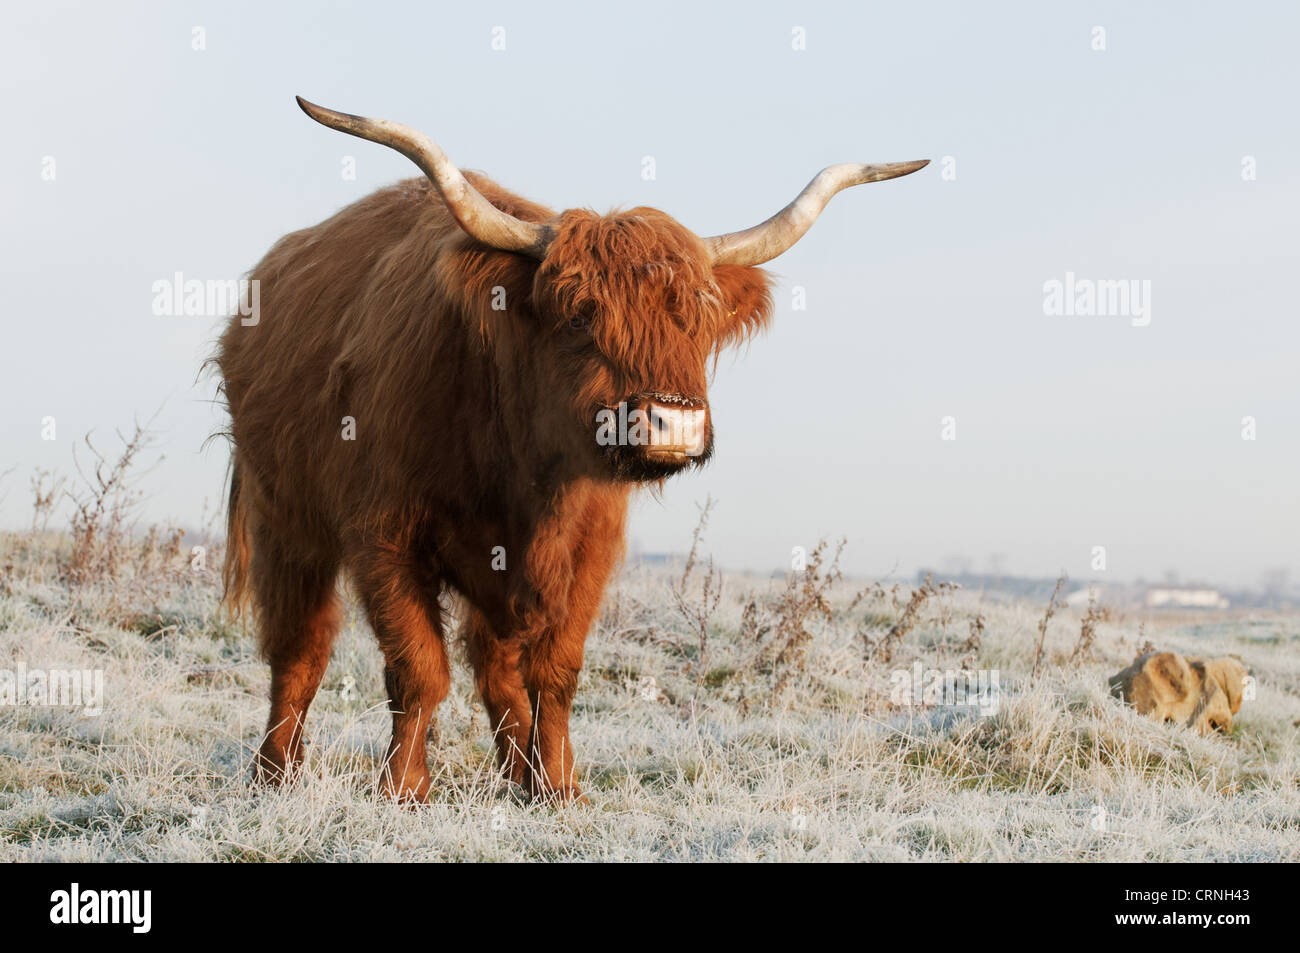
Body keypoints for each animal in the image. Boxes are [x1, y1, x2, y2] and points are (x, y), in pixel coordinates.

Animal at [215, 96, 926, 803]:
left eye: (700, 317)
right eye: (580, 313)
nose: (673, 422)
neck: (523, 465)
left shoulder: (589, 547)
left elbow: (555, 674)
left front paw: (559, 787)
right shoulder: (385, 533)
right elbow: (417, 668)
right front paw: (404, 789)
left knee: (494, 665)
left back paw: (516, 776)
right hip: (285, 521)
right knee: (300, 647)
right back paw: (274, 771)